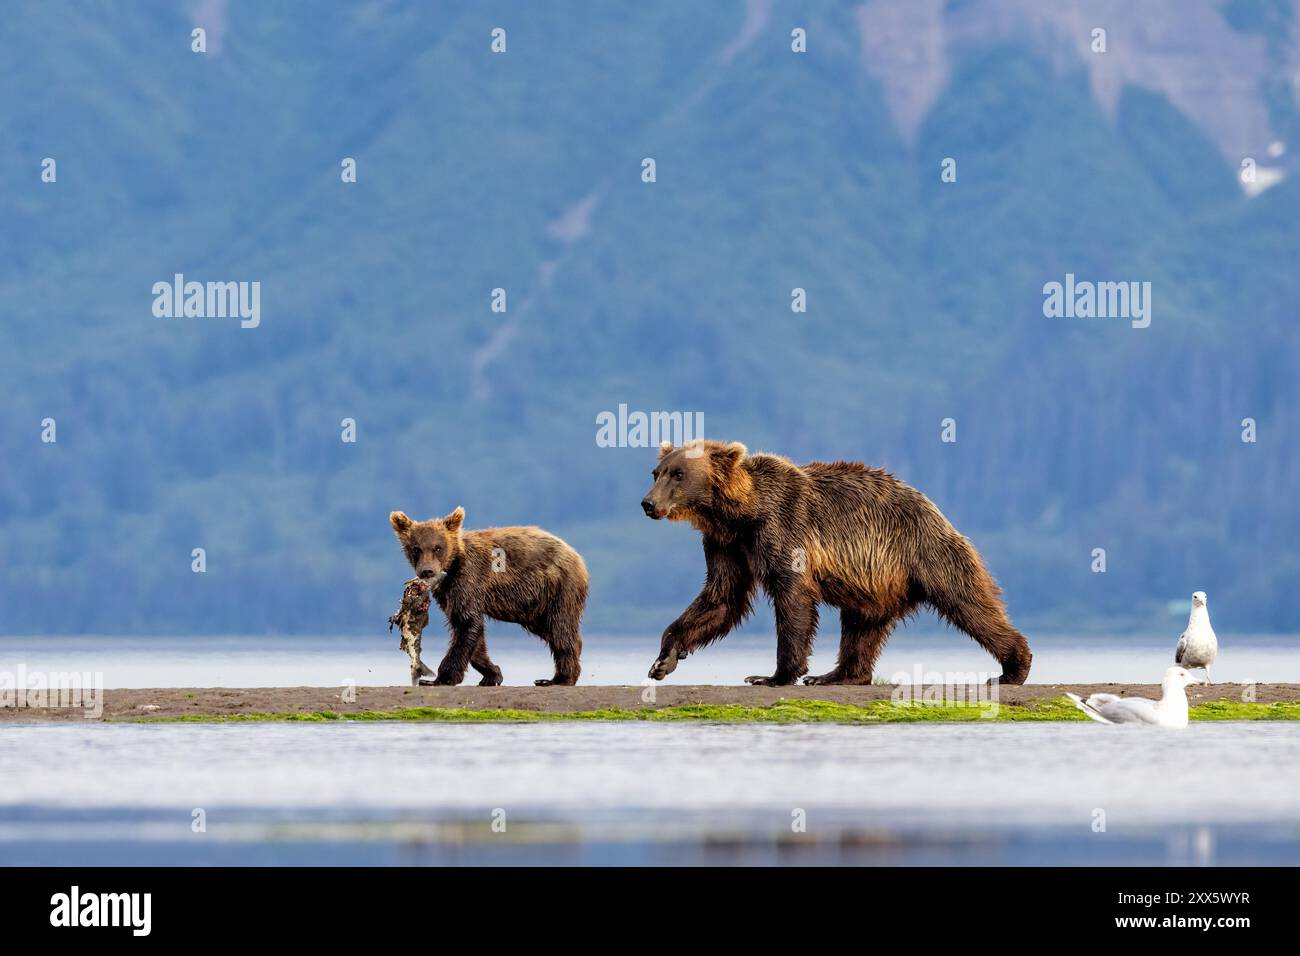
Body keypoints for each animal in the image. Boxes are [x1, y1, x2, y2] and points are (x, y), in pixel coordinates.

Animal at [389, 507, 588, 686]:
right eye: (416, 549)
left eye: (438, 548)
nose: (427, 571)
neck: (452, 566)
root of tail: (576, 555)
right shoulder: (448, 593)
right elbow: (471, 632)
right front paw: (492, 674)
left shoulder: (468, 580)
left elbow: (467, 624)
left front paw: (441, 678)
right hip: (534, 607)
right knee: (549, 629)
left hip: (558, 588)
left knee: (560, 628)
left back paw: (559, 678)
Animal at [639, 440, 1033, 686]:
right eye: (657, 472)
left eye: (678, 474)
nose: (647, 503)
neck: (740, 513)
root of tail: (938, 511)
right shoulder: (727, 545)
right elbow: (721, 597)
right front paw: (664, 659)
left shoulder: (782, 530)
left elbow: (792, 599)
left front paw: (773, 675)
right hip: (874, 580)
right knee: (861, 626)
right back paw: (837, 674)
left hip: (925, 553)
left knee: (969, 604)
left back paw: (1012, 668)